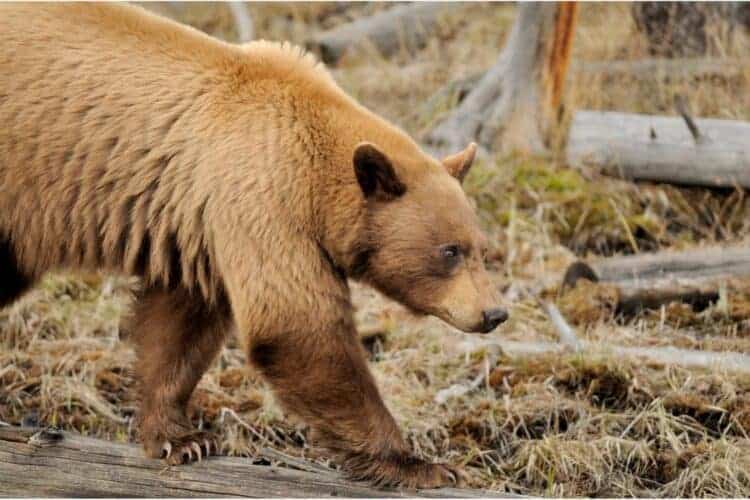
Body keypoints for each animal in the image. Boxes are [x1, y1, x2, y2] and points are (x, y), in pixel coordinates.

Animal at [0, 3, 507, 488]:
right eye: (450, 251)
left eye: (481, 248)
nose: (494, 313)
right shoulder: (264, 196)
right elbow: (295, 325)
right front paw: (419, 464)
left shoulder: (197, 222)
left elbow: (180, 324)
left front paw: (180, 437)